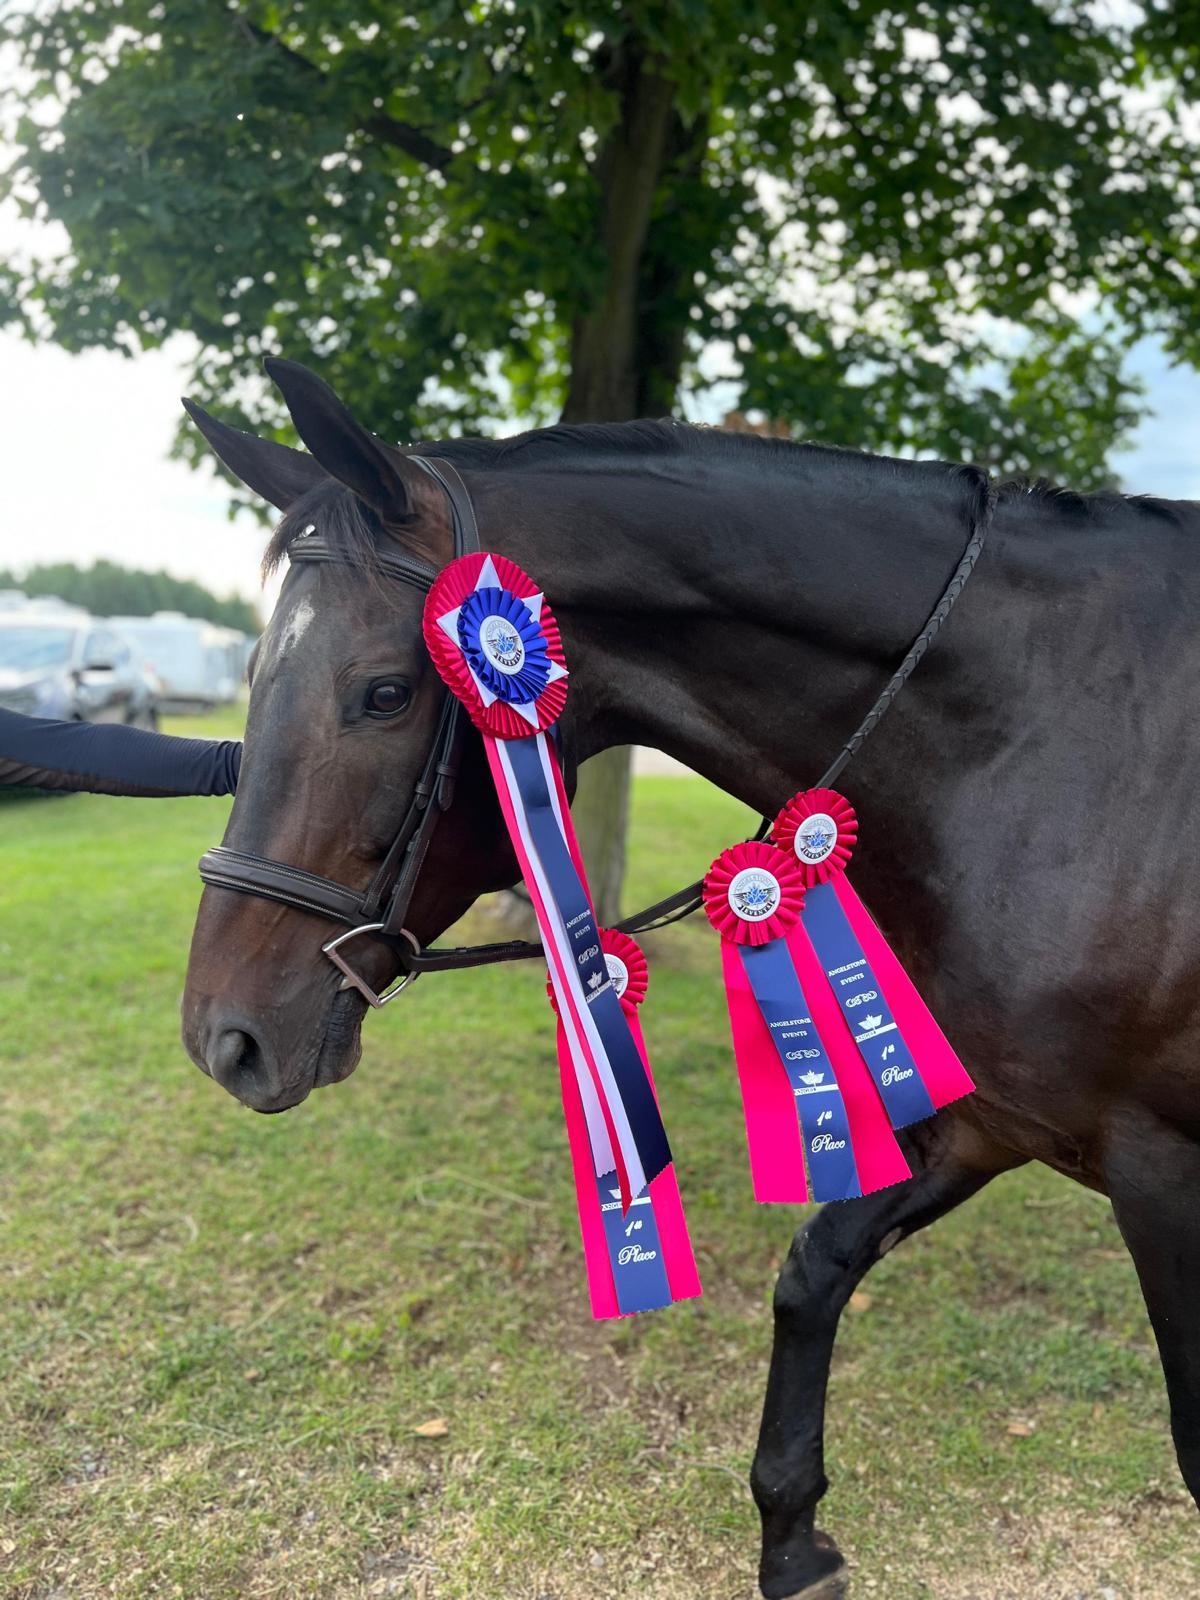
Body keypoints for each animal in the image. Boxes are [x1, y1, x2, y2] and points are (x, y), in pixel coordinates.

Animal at [180, 357, 1200, 1599]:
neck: (1053, 738)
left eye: (383, 692)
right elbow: (813, 1270)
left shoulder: (1161, 1169)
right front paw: (792, 1538)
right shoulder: (993, 1111)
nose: (225, 1039)